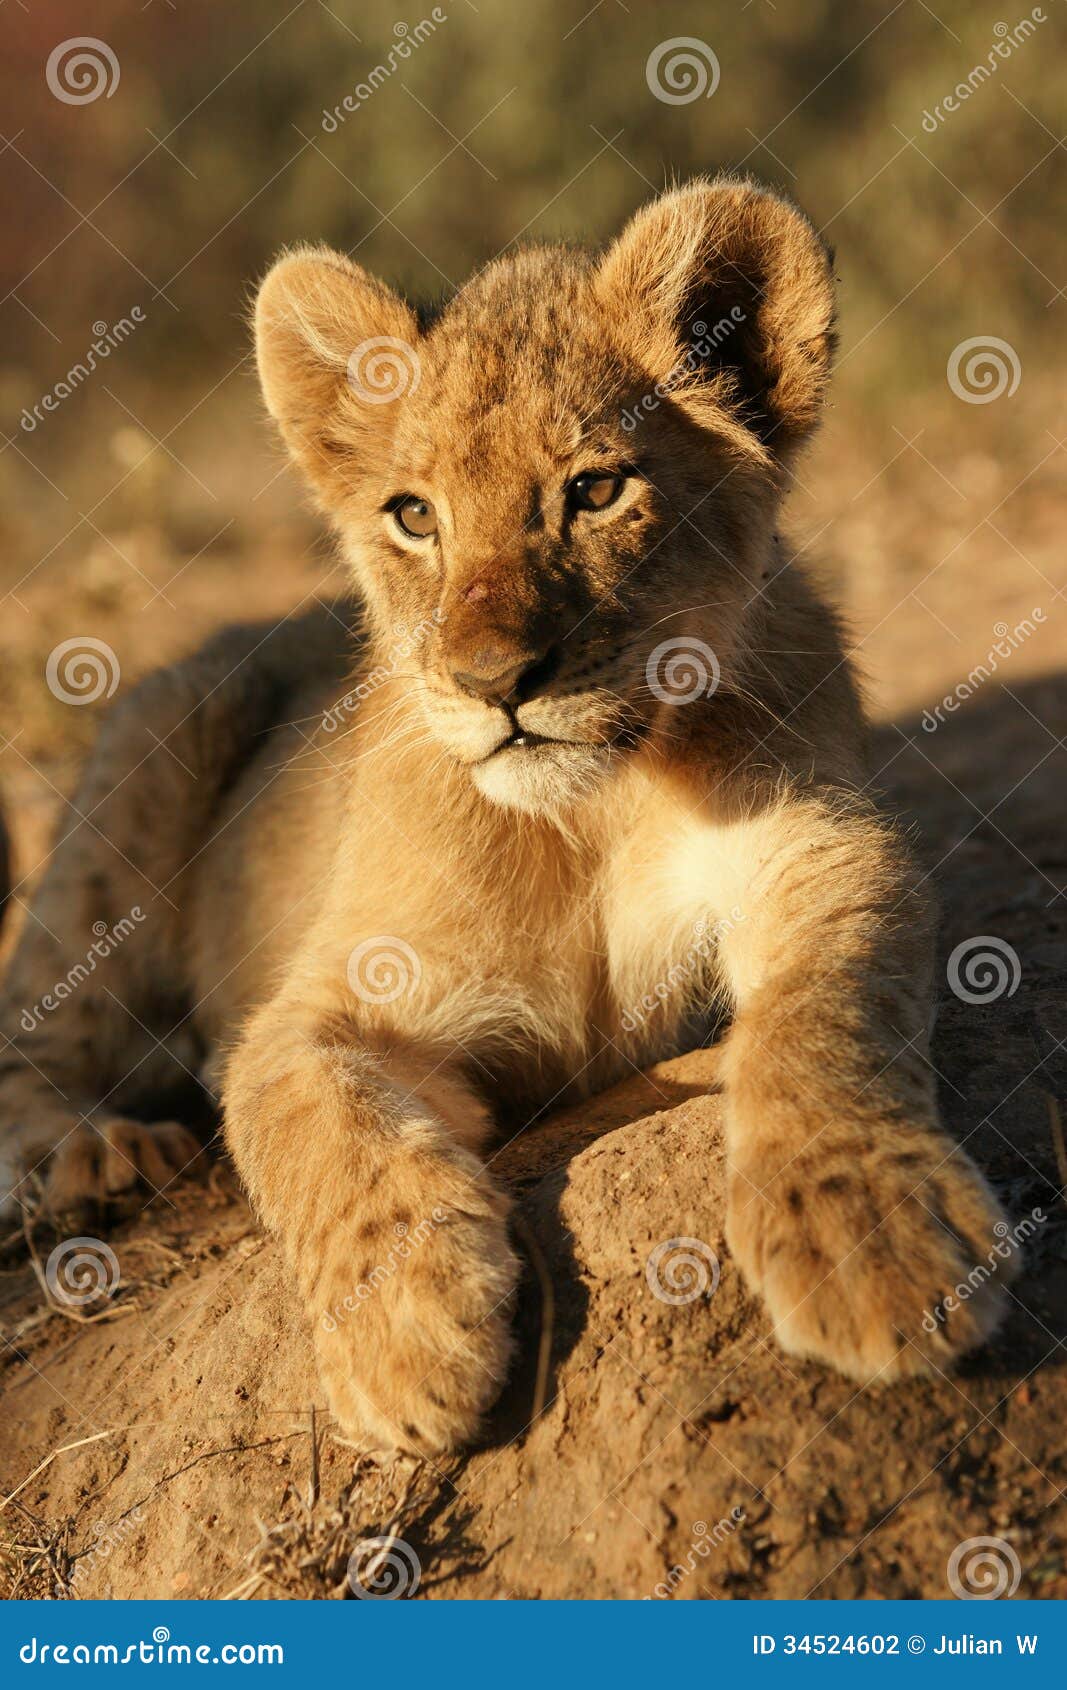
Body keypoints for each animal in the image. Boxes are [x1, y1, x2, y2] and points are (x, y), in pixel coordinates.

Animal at [0, 176, 1017, 1453]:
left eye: (594, 490)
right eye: (412, 515)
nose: (495, 681)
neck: (594, 812)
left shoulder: (822, 852)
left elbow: (826, 1016)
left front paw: (867, 1234)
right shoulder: (317, 1003)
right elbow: (319, 1124)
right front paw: (406, 1338)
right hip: (155, 746)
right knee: (34, 1040)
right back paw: (101, 1150)